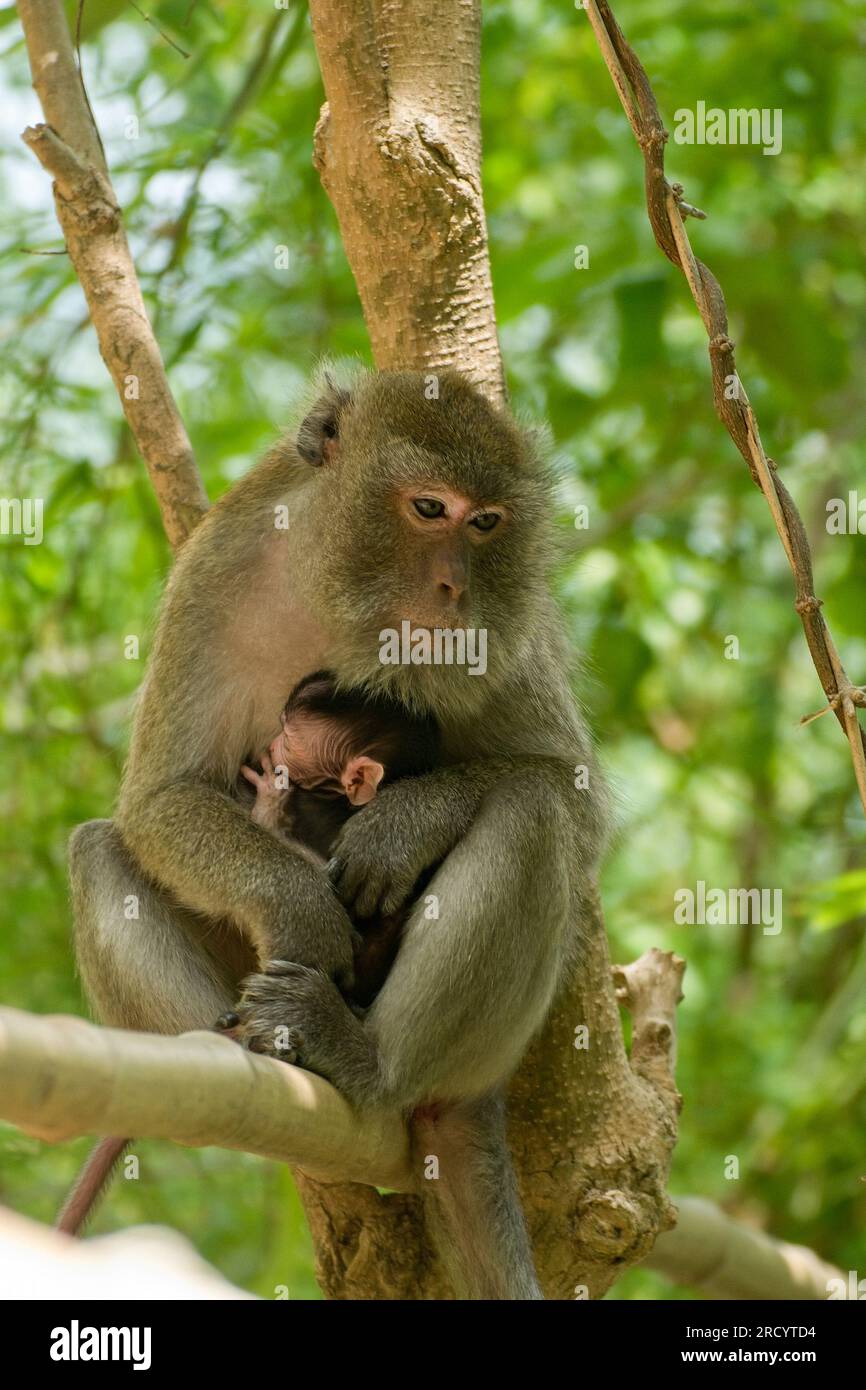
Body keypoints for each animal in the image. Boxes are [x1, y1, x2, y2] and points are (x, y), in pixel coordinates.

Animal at [66, 368, 608, 1298]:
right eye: (428, 508)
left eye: (487, 524)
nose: (454, 589)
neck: (337, 596)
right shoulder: (215, 567)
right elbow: (159, 799)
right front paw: (301, 905)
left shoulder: (509, 629)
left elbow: (571, 796)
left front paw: (400, 824)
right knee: (101, 848)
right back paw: (242, 1056)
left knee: (533, 817)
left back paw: (369, 1066)